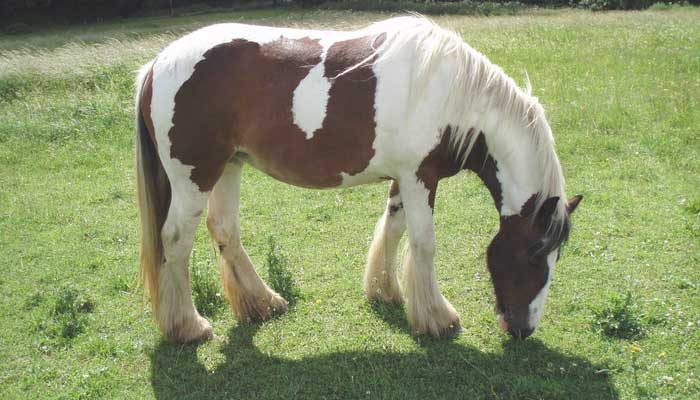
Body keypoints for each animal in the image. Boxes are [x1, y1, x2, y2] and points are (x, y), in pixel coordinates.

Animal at [135, 16, 582, 344]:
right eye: (534, 255)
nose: (524, 329)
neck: (453, 99)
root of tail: (156, 65)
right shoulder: (421, 177)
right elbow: (424, 242)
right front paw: (437, 318)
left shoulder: (405, 178)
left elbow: (395, 228)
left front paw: (386, 291)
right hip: (196, 176)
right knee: (176, 240)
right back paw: (187, 327)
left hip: (229, 167)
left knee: (225, 230)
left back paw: (262, 303)